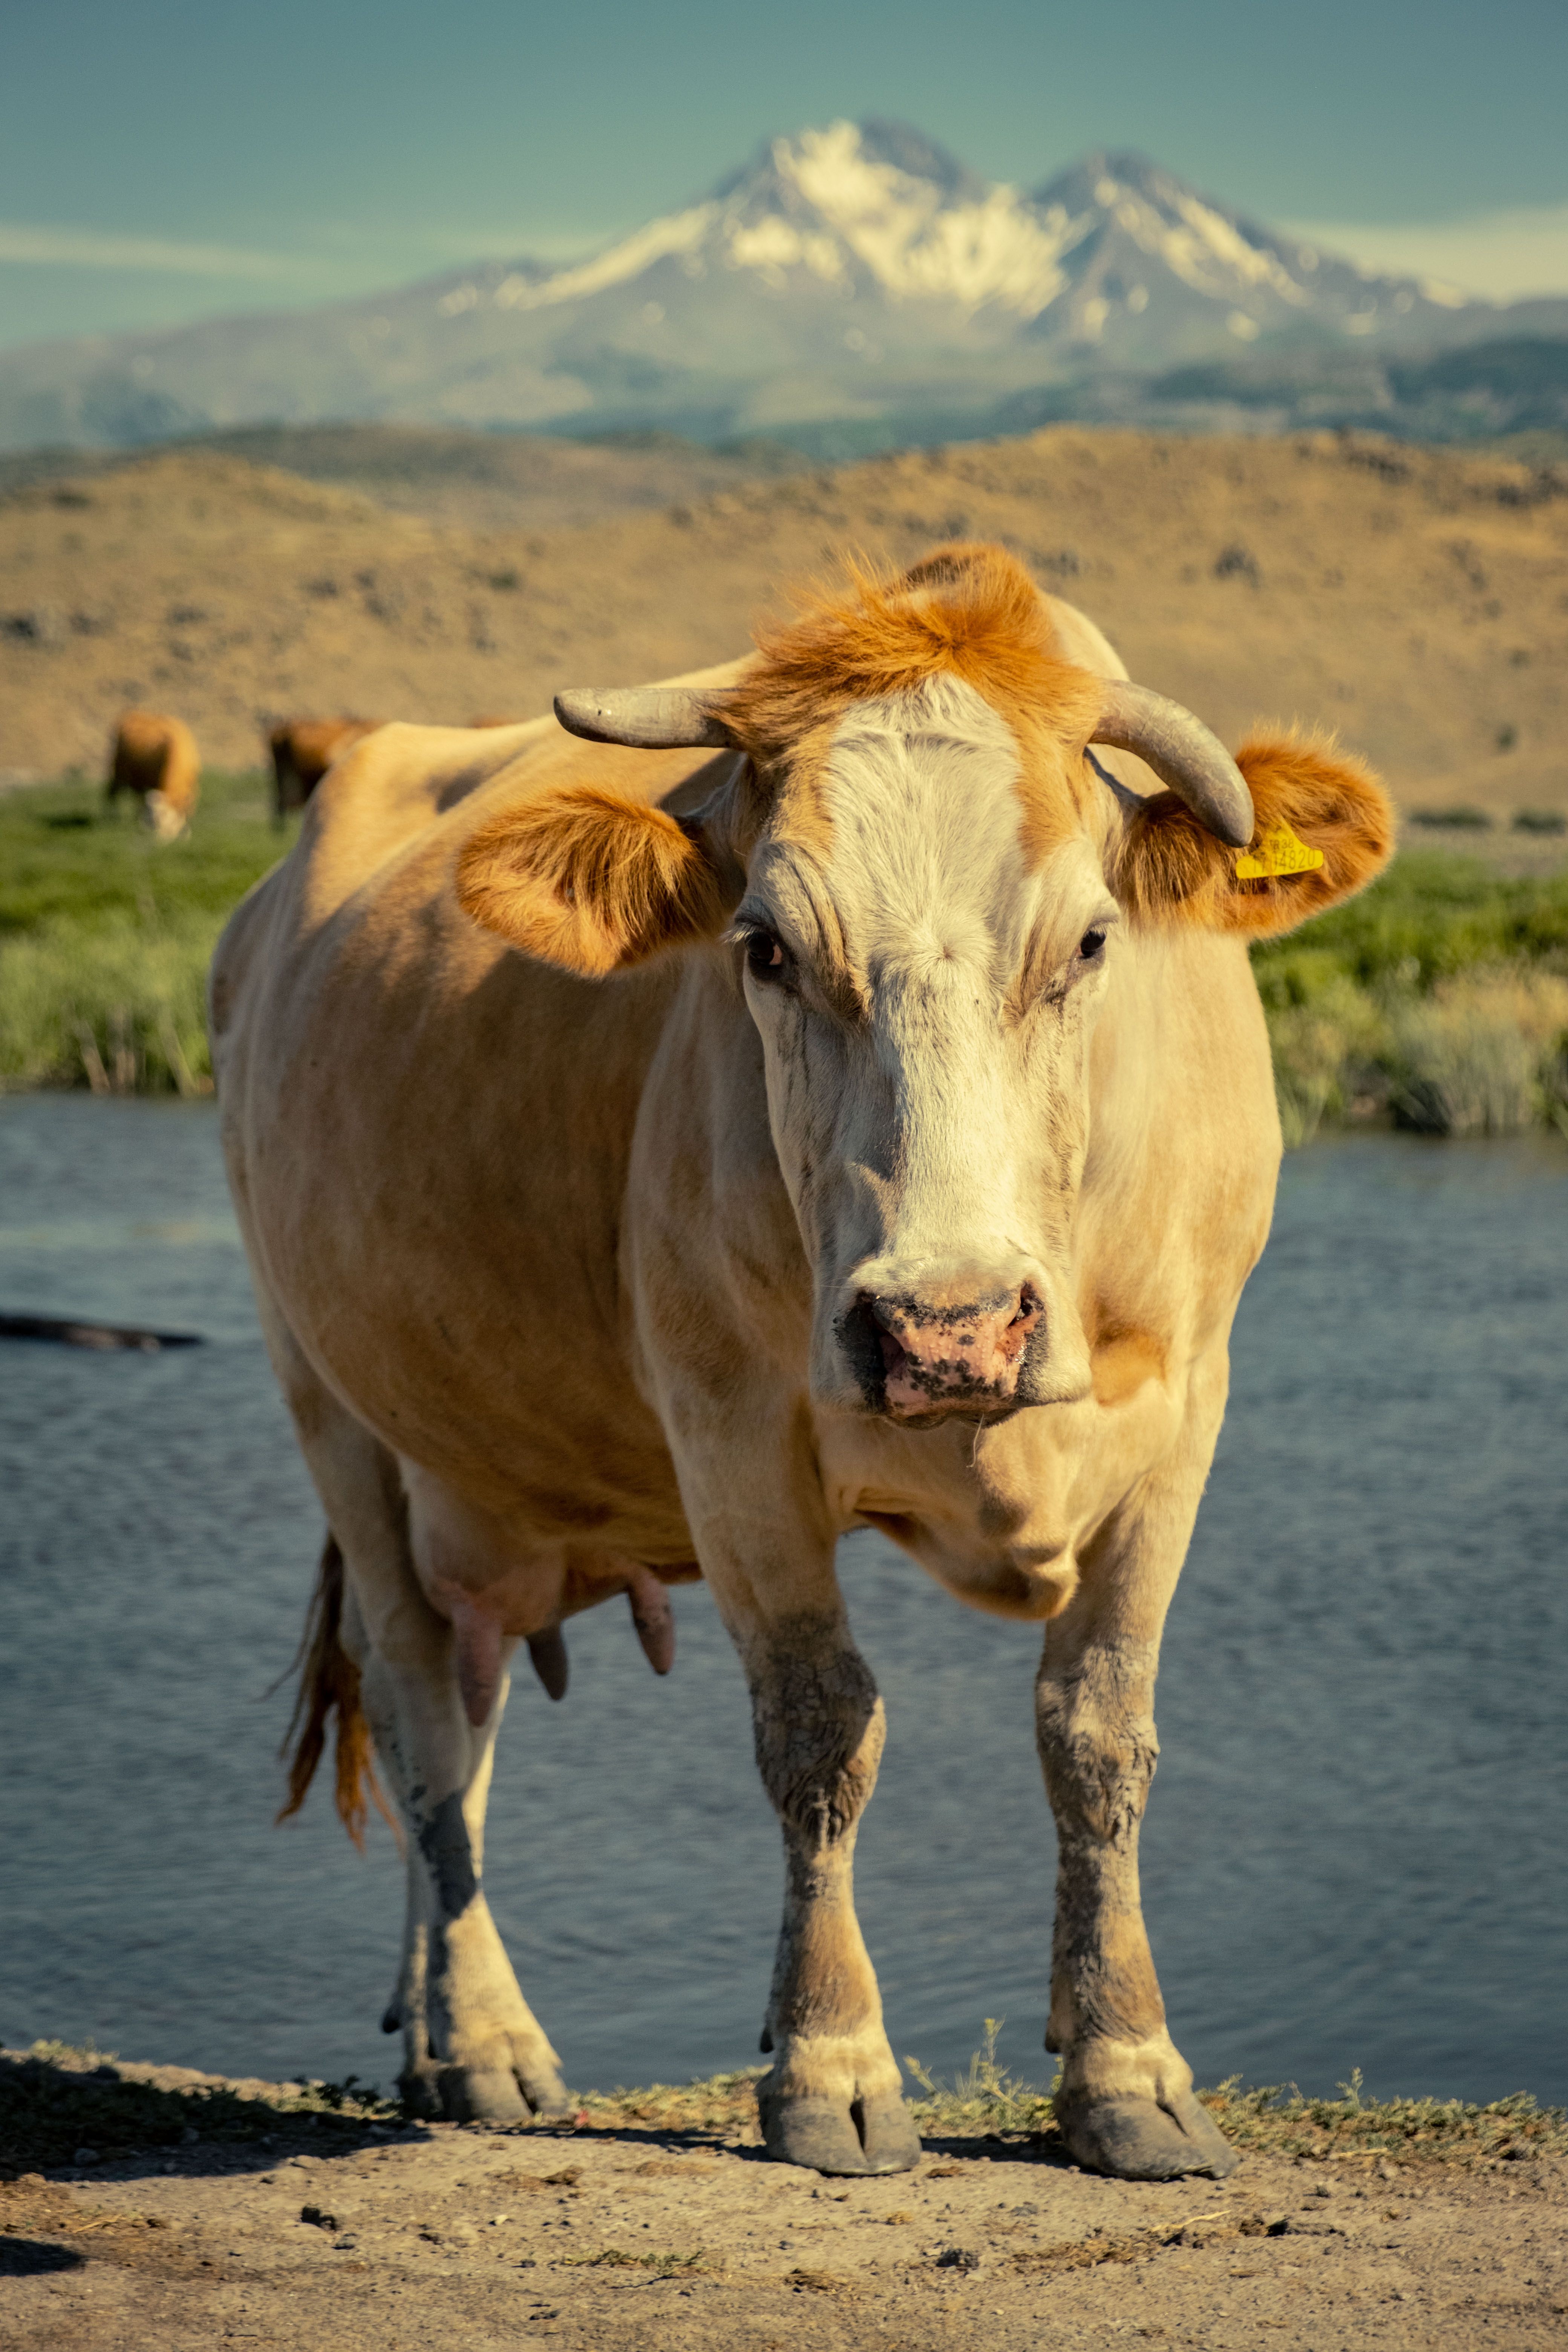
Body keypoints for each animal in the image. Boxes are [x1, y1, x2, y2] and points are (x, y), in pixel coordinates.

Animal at [106, 709, 200, 842]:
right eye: (153, 823)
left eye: (171, 824)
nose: (160, 841)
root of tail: (135, 713)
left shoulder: (192, 787)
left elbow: (187, 809)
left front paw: (186, 832)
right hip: (118, 770)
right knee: (113, 793)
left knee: (137, 798)